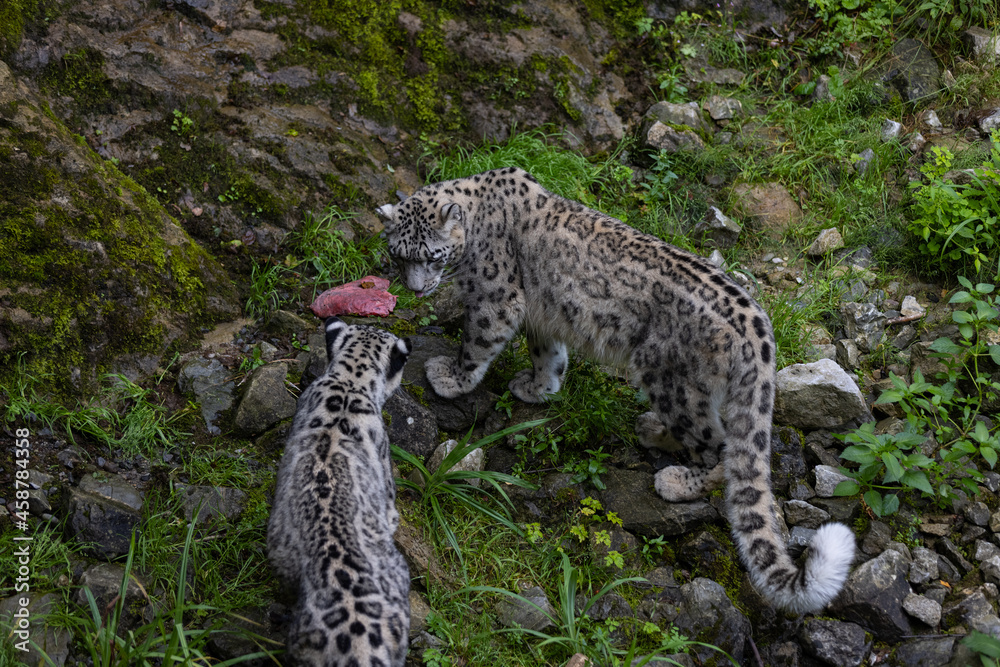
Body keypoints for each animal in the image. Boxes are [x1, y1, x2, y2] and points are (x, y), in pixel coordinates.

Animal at [378, 166, 855, 614]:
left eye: (432, 255)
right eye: (397, 253)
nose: (415, 288)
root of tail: (758, 329)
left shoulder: (495, 299)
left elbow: (477, 341)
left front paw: (450, 377)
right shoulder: (542, 317)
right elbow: (548, 355)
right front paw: (538, 387)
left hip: (669, 381)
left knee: (717, 444)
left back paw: (676, 479)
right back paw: (653, 431)